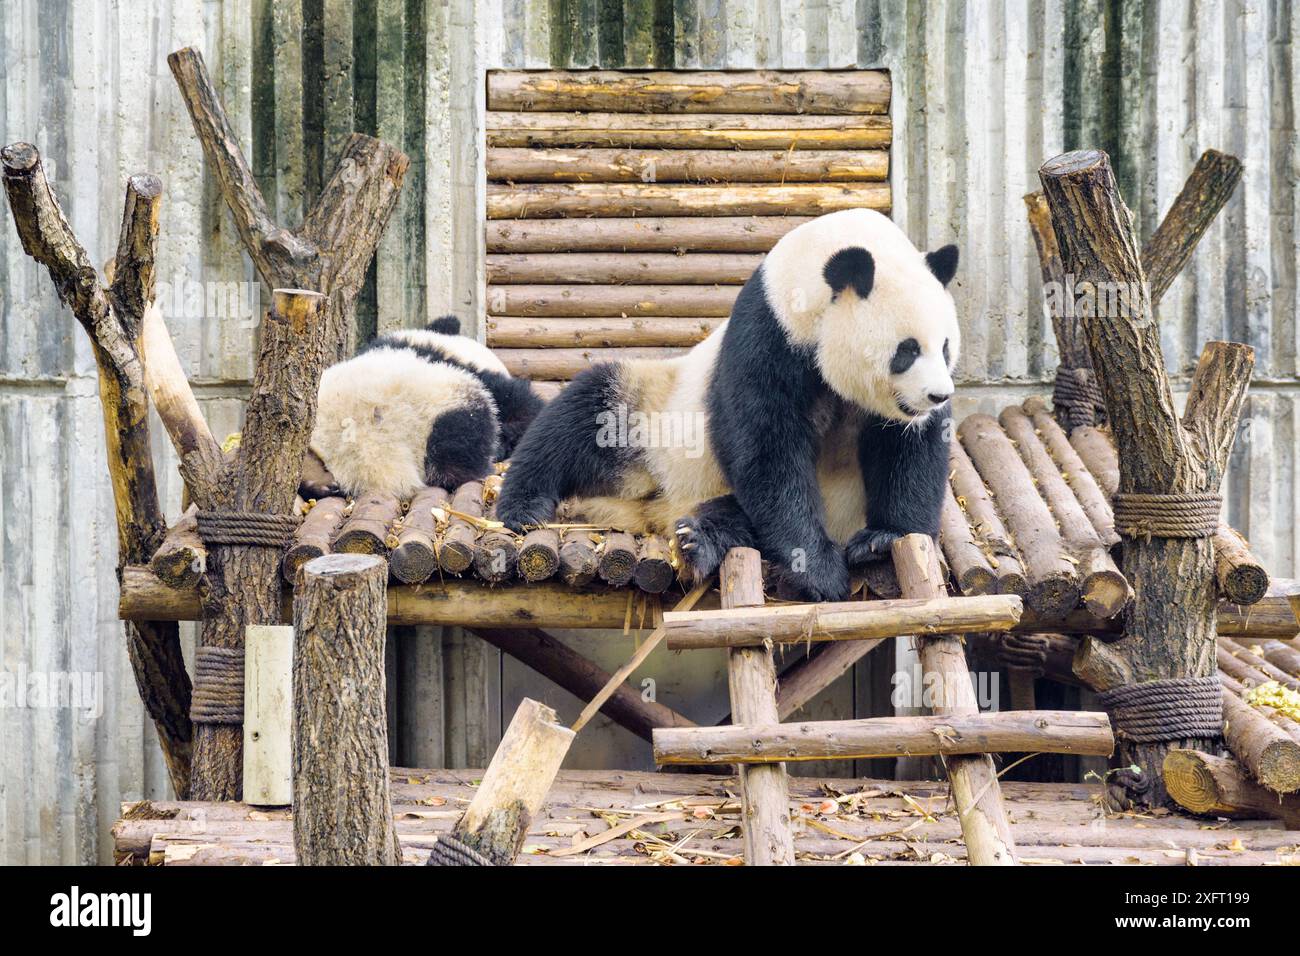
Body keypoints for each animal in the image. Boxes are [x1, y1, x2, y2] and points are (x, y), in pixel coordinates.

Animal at [494, 208, 960, 602]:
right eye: (907, 350)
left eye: (945, 346)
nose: (938, 396)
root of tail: (650, 509)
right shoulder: (768, 333)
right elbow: (765, 446)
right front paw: (820, 573)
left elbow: (910, 452)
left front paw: (882, 539)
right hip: (651, 417)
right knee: (585, 416)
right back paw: (524, 505)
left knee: (738, 518)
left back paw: (699, 538)